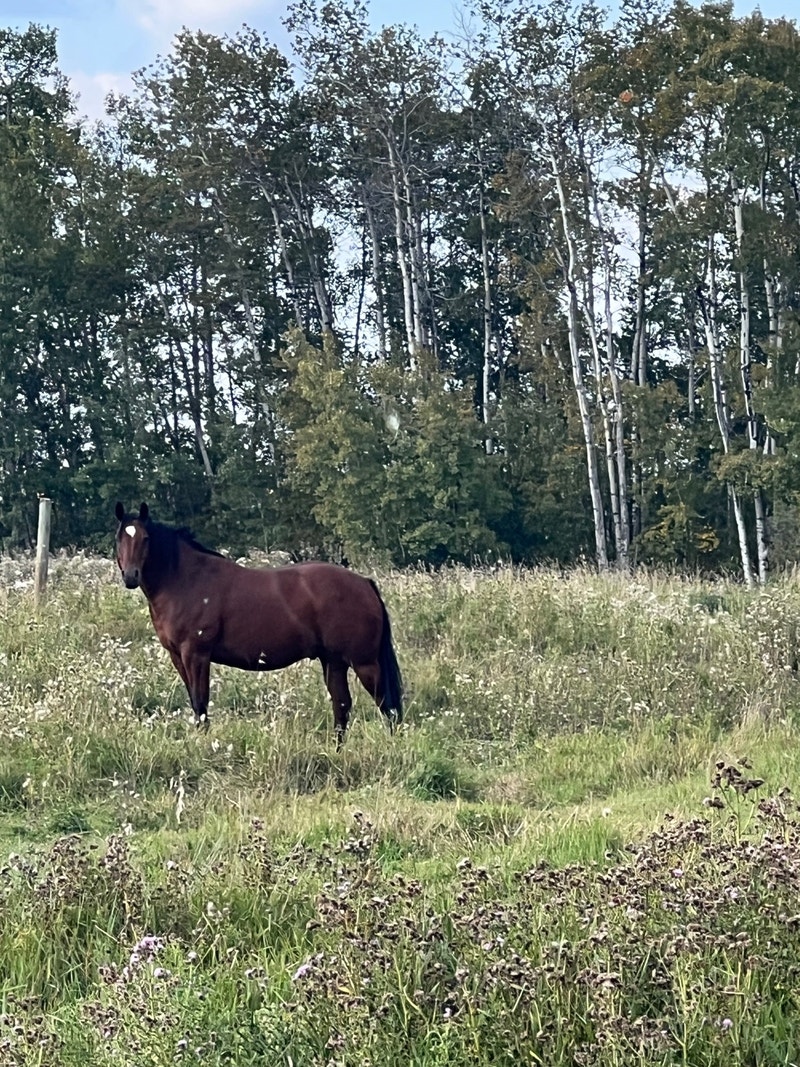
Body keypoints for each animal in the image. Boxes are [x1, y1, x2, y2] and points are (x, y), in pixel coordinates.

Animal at [113, 503, 403, 746]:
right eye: (120, 539)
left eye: (145, 539)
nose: (131, 576)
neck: (185, 580)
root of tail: (364, 583)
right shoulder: (178, 656)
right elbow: (195, 703)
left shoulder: (196, 655)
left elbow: (200, 703)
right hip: (334, 661)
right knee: (342, 705)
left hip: (364, 663)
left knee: (386, 705)